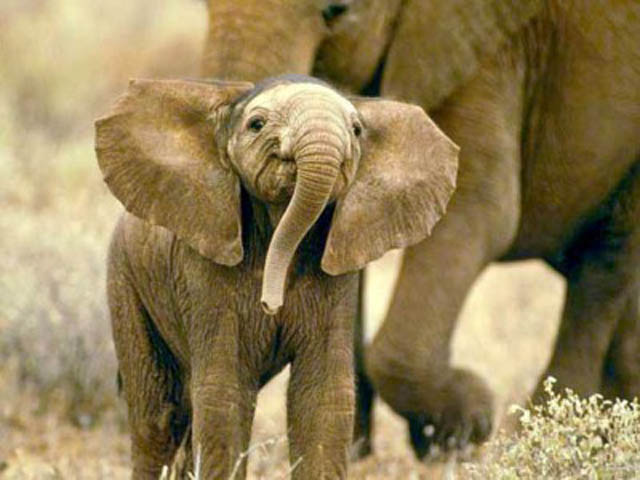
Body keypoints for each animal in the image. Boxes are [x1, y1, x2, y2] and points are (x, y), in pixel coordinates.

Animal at [94, 75, 458, 478]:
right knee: (157, 416)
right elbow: (224, 395)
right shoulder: (204, 269)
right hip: (124, 279)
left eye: (357, 130)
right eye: (256, 124)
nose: (270, 304)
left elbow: (322, 398)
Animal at [200, 0, 640, 458]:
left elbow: (480, 212)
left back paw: (552, 434)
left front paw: (463, 425)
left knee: (607, 261)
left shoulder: (485, 52)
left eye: (336, 11)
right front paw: (361, 455)